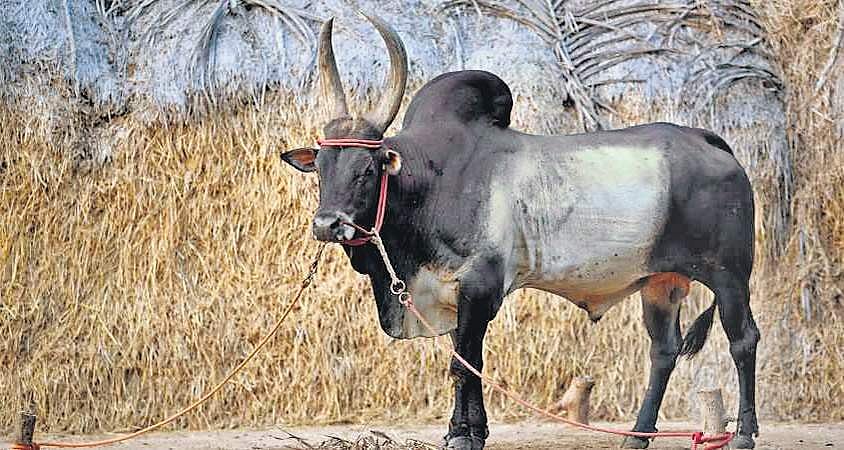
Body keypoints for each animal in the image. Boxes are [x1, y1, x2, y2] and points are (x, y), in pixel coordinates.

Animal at [280, 14, 760, 450]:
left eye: (367, 169)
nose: (327, 224)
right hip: (660, 283)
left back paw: (743, 434)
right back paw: (636, 437)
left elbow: (464, 364)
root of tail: (710, 142)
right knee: (663, 351)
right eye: (321, 168)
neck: (430, 186)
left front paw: (464, 437)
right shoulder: (454, 295)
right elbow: (466, 358)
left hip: (730, 276)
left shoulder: (480, 286)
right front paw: (466, 430)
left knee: (743, 341)